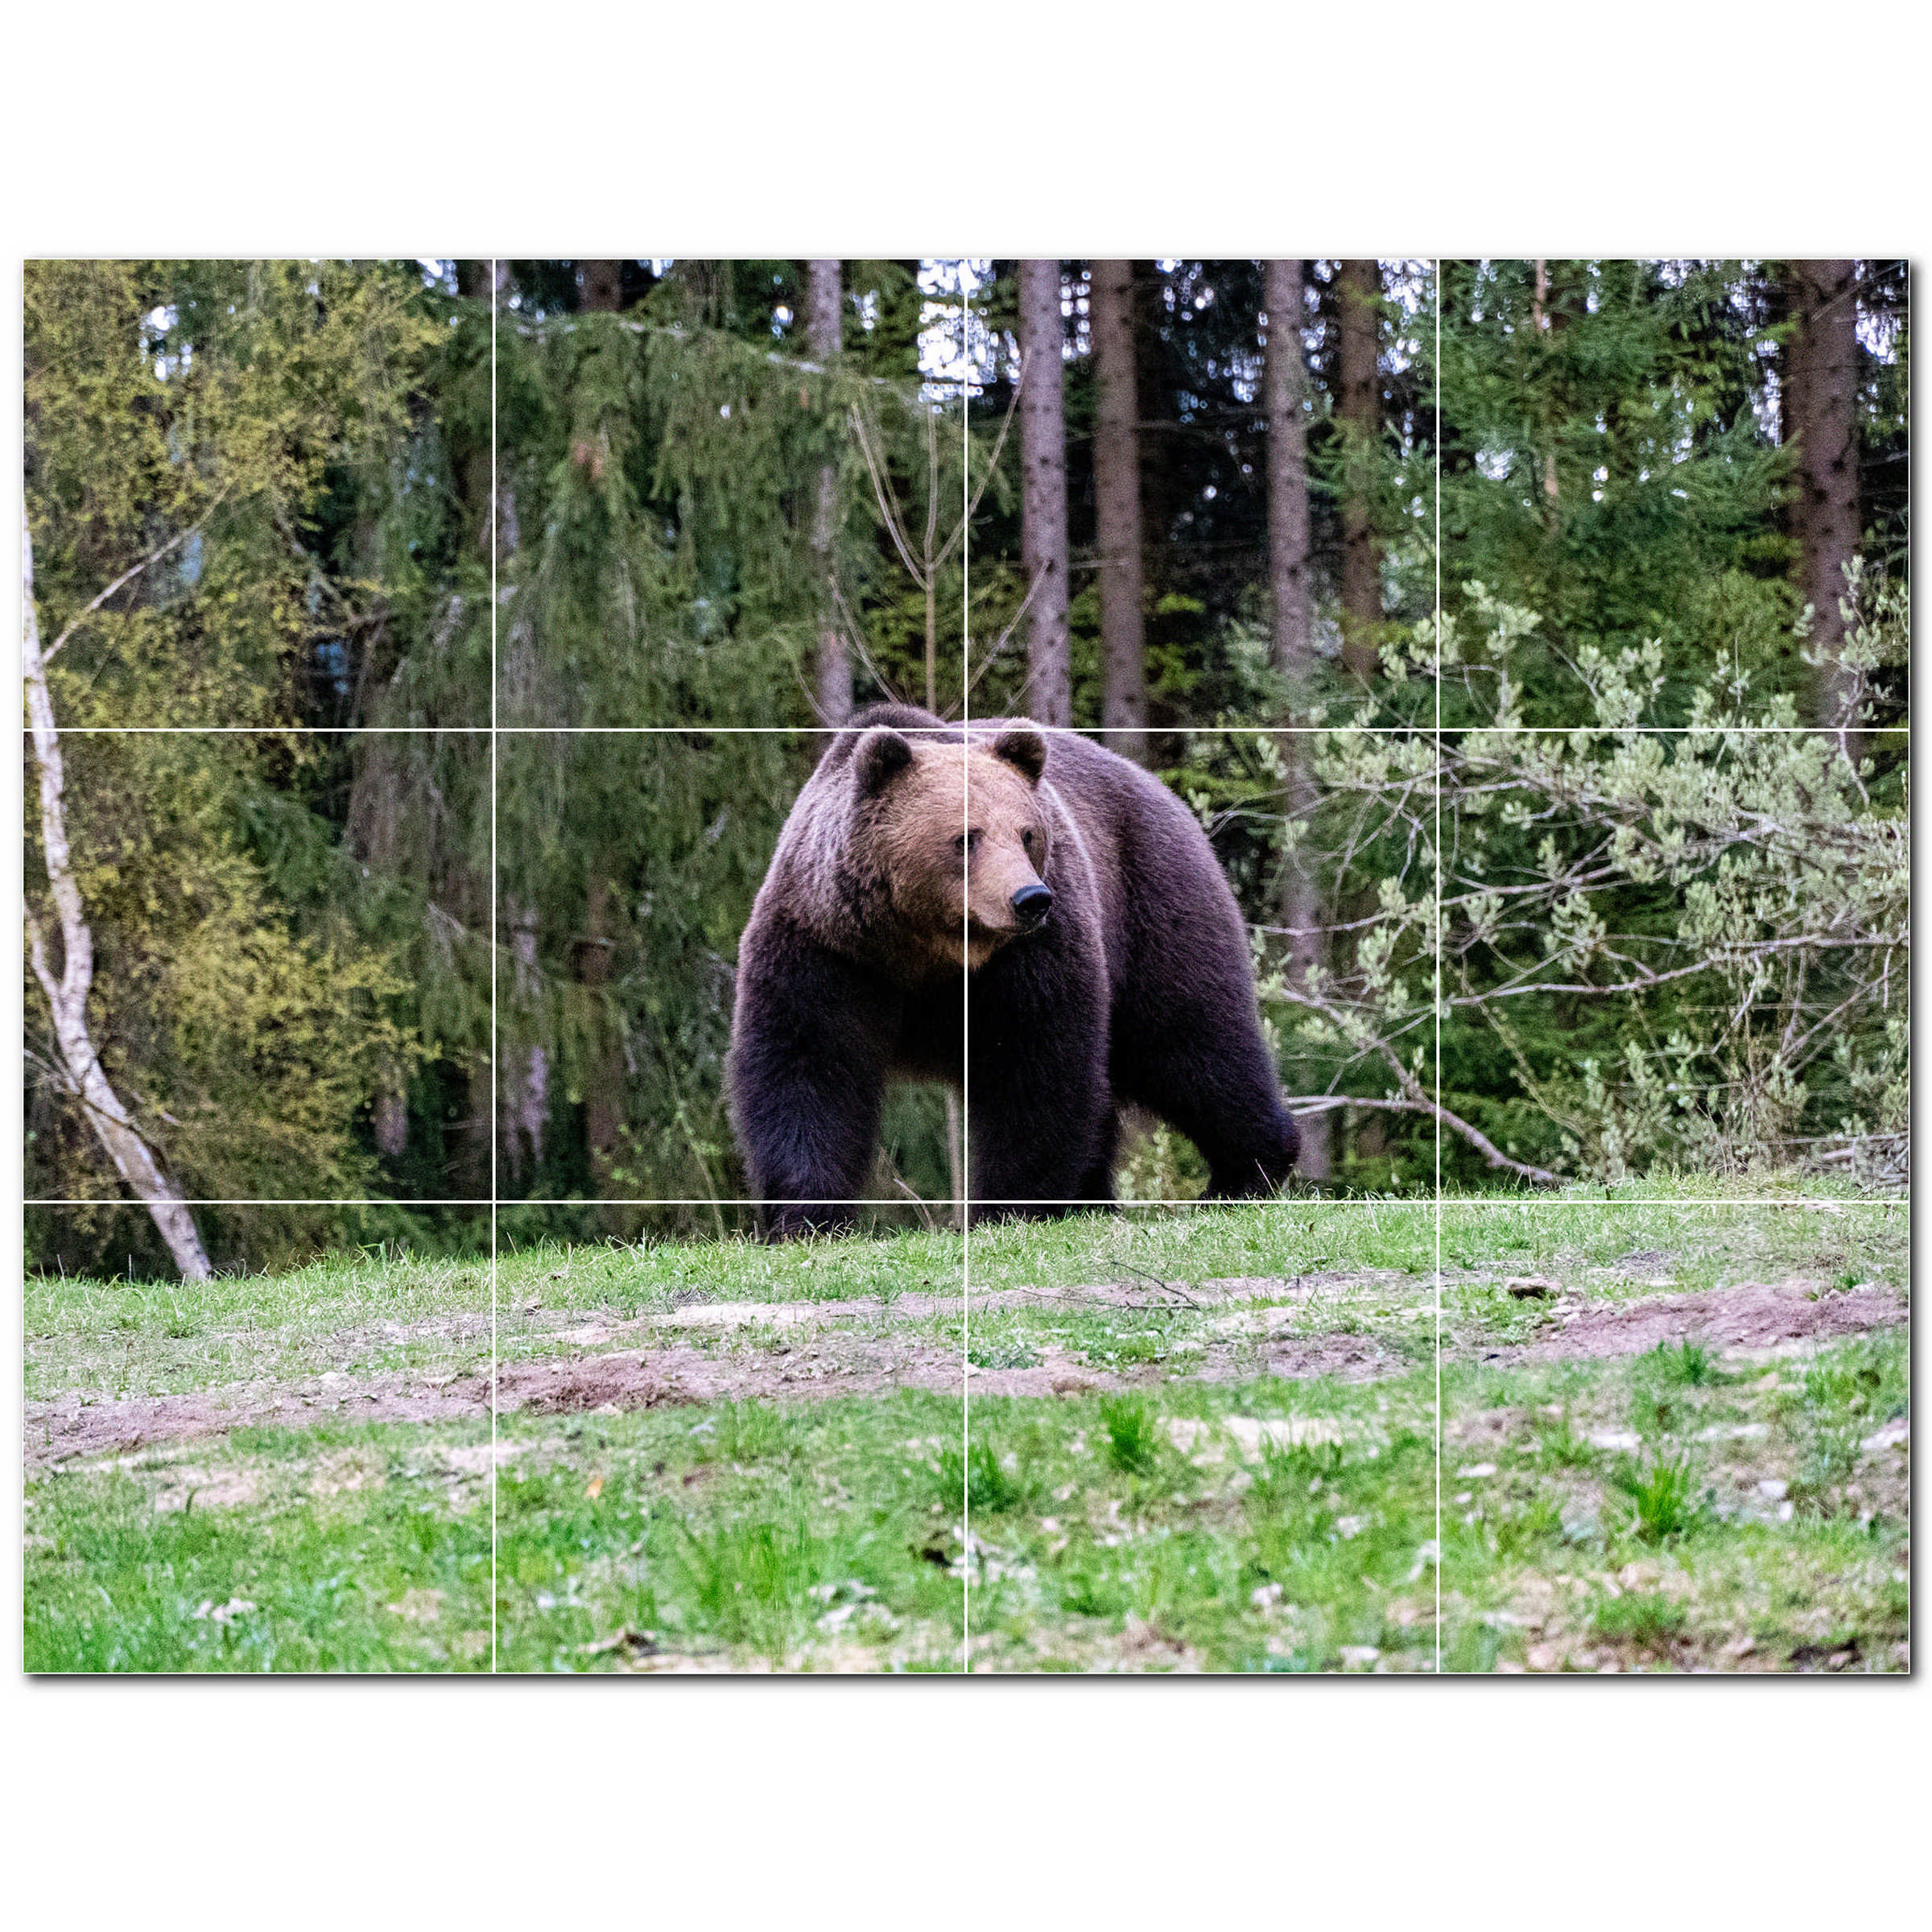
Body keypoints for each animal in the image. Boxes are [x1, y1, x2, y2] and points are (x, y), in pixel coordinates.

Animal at [726, 703, 1300, 1236]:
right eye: (967, 837)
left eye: (1027, 834)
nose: (1029, 898)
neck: (925, 947)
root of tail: (1160, 789)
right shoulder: (827, 947)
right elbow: (806, 1064)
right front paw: (804, 1216)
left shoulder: (1030, 957)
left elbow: (1035, 1068)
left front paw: (1010, 1207)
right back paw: (1099, 1198)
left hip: (1152, 906)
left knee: (1193, 1046)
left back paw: (1244, 1173)